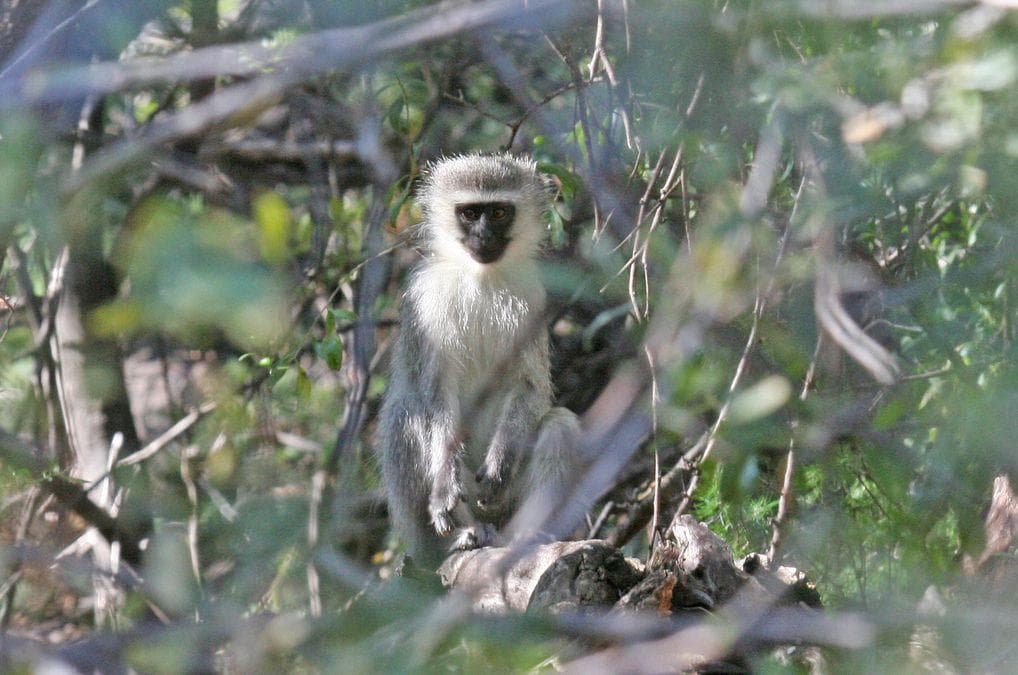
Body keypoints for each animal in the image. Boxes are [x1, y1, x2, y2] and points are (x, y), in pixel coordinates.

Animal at [377, 153, 583, 565]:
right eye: (471, 213)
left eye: (500, 212)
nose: (484, 236)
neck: (481, 278)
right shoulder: (425, 304)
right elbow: (435, 395)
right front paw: (443, 488)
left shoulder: (534, 300)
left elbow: (529, 386)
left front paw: (499, 464)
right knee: (409, 411)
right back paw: (459, 536)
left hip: (504, 507)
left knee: (559, 424)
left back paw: (528, 534)